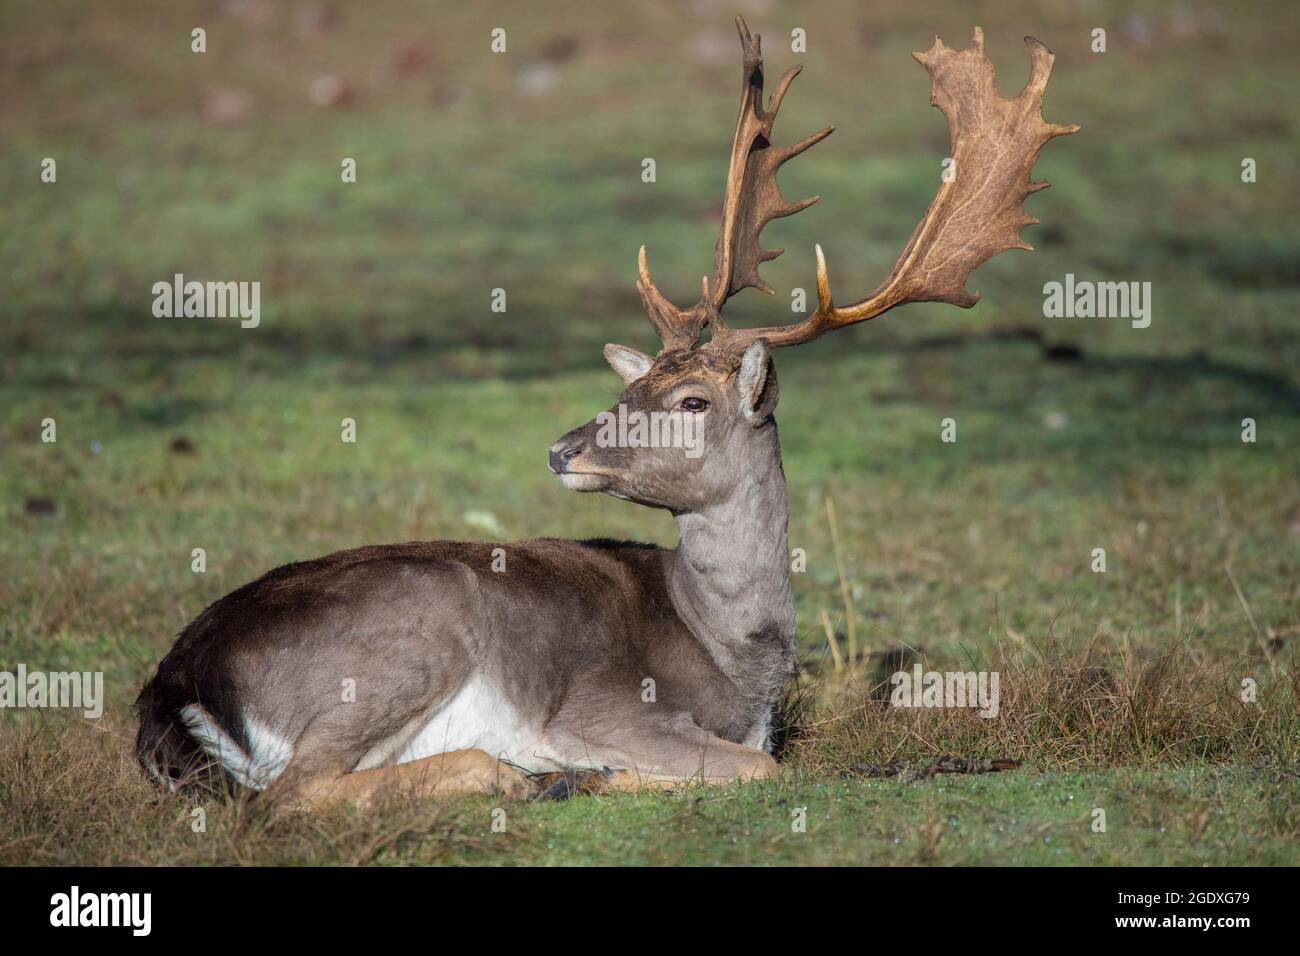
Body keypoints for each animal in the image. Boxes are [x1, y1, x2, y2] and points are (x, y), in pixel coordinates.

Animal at [135, 16, 1076, 809]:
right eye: (630, 390)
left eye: (691, 399)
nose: (562, 449)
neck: (734, 655)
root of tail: (176, 688)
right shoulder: (607, 705)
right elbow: (760, 764)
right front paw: (590, 771)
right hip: (401, 642)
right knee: (295, 794)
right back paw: (536, 777)